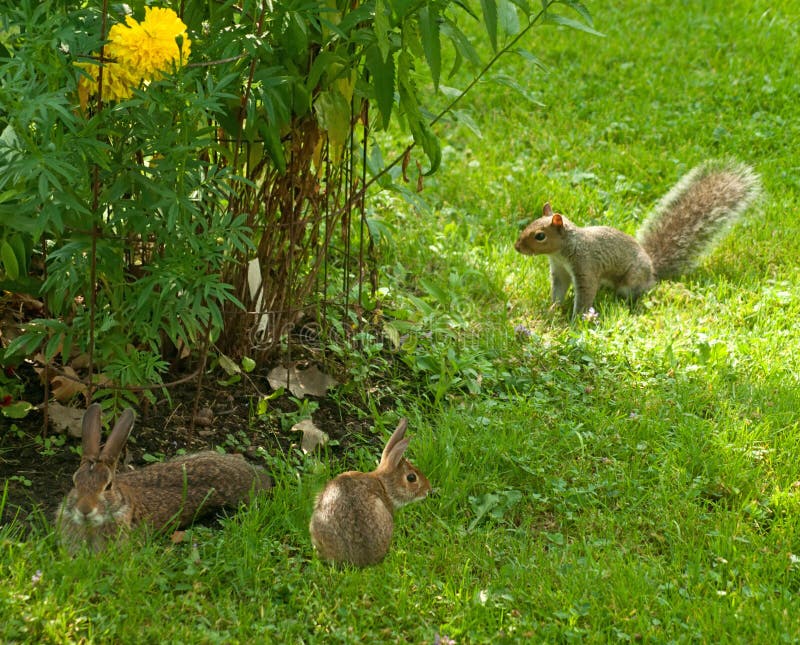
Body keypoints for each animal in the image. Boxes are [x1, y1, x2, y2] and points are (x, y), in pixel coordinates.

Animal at [514, 160, 761, 318]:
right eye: (529, 225)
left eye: (540, 236)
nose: (516, 247)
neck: (563, 252)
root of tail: (652, 270)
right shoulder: (560, 271)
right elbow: (558, 291)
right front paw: (552, 310)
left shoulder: (586, 266)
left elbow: (585, 294)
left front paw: (575, 322)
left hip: (631, 280)